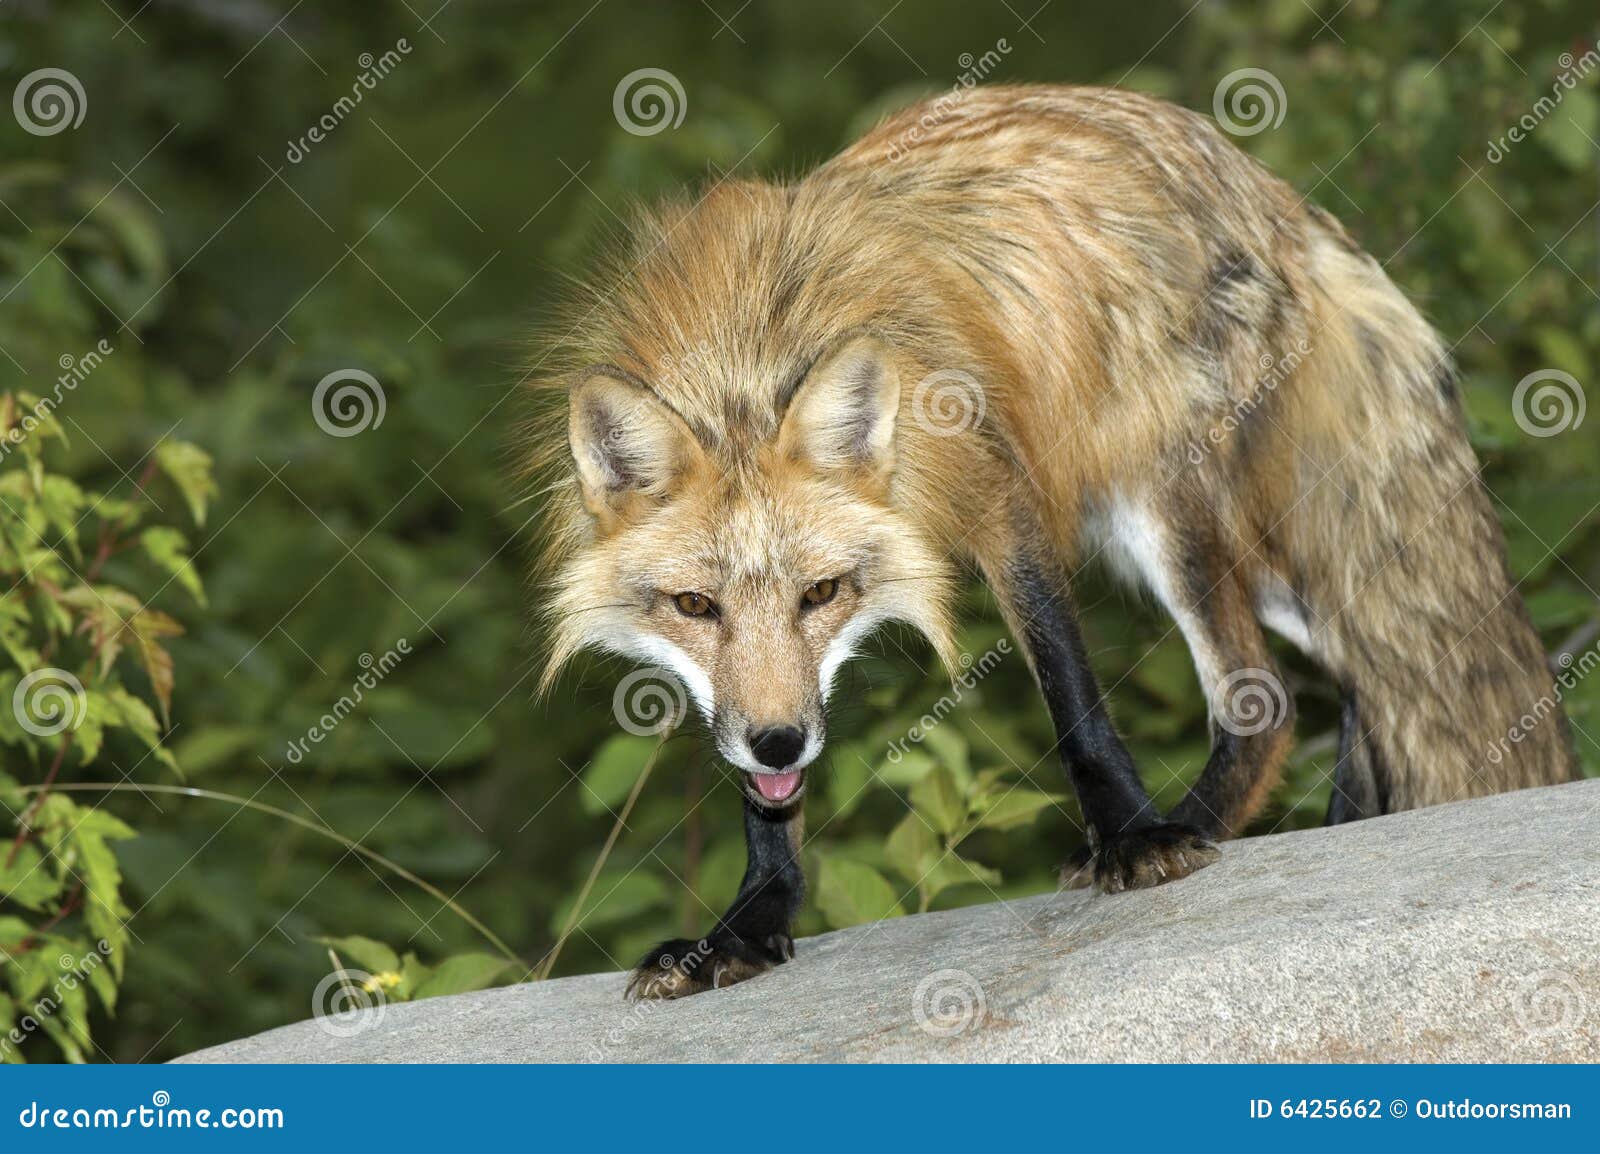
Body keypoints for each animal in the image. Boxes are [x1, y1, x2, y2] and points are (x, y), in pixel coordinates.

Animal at [526, 84, 1577, 1000]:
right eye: (694, 607)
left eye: (822, 594)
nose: (781, 737)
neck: (747, 355)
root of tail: (1273, 193)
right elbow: (764, 804)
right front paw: (749, 925)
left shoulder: (1003, 498)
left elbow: (1073, 698)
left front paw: (1132, 836)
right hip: (1248, 547)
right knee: (1371, 662)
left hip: (1164, 505)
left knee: (1268, 699)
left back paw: (1189, 824)